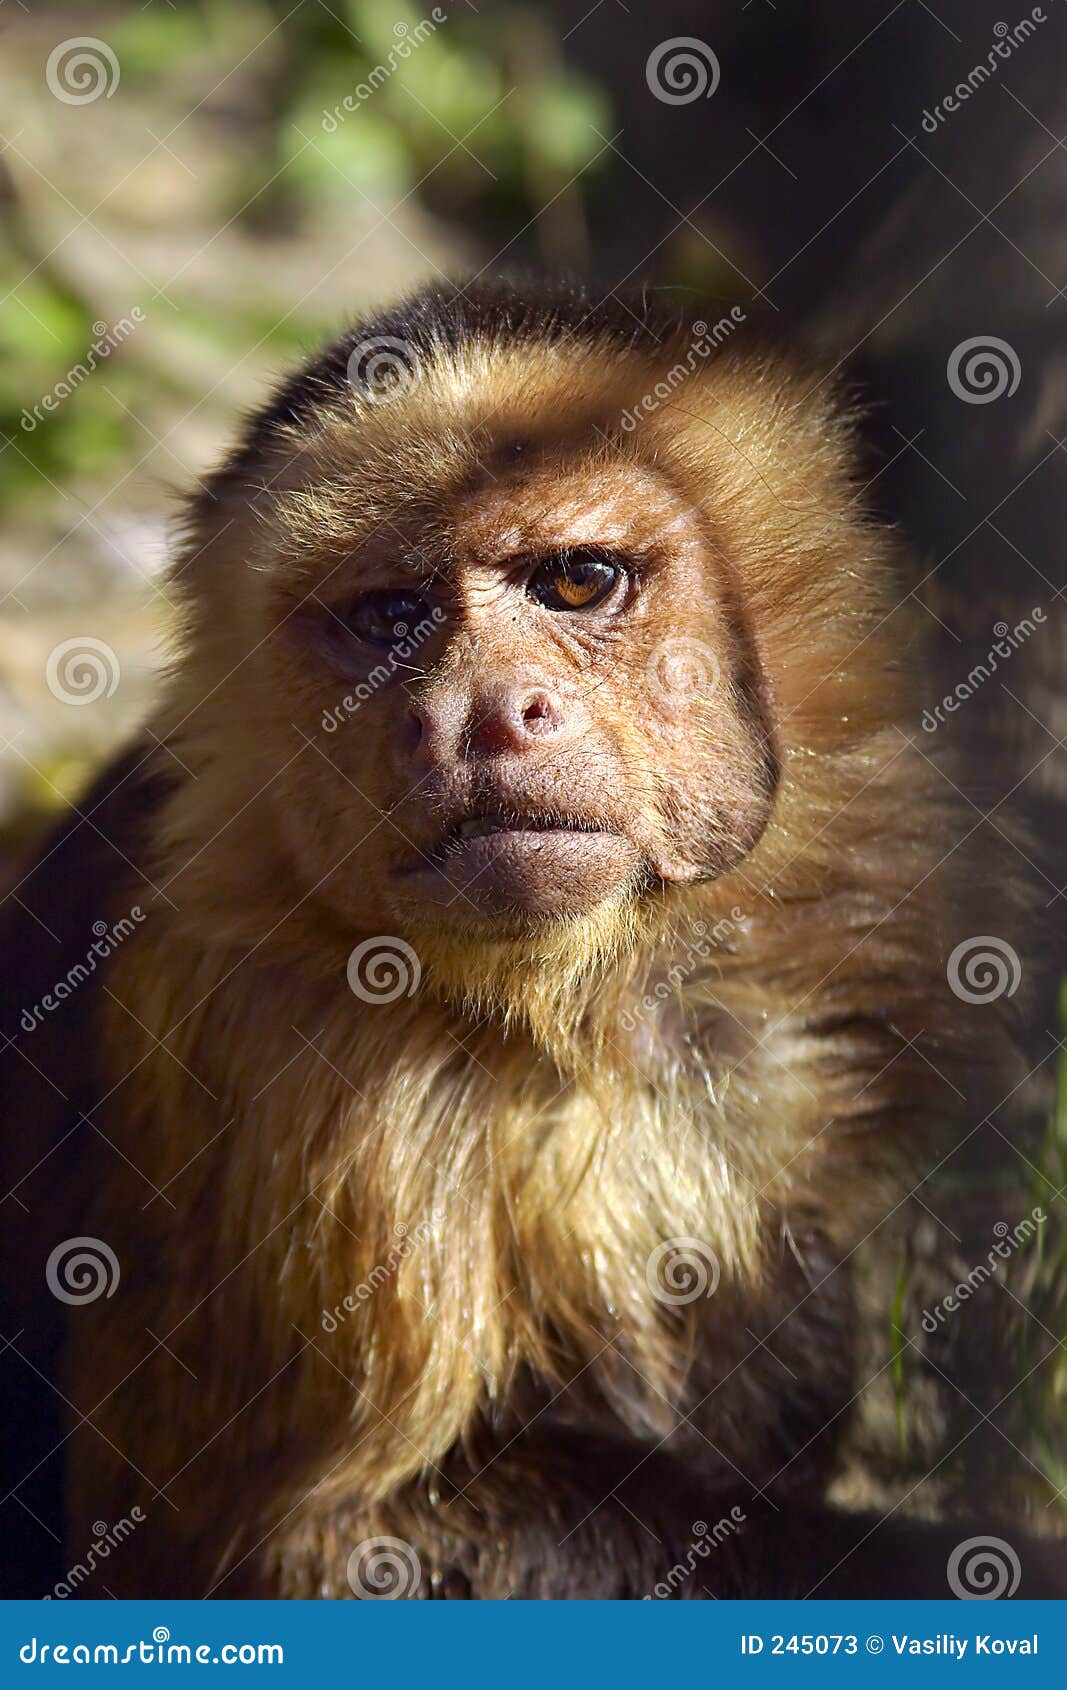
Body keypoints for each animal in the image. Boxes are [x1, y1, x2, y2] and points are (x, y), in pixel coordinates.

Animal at [0, 278, 1062, 1599]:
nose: (479, 716)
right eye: (390, 617)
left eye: (575, 582)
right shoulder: (283, 1053)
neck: (586, 1001)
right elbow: (318, 1543)